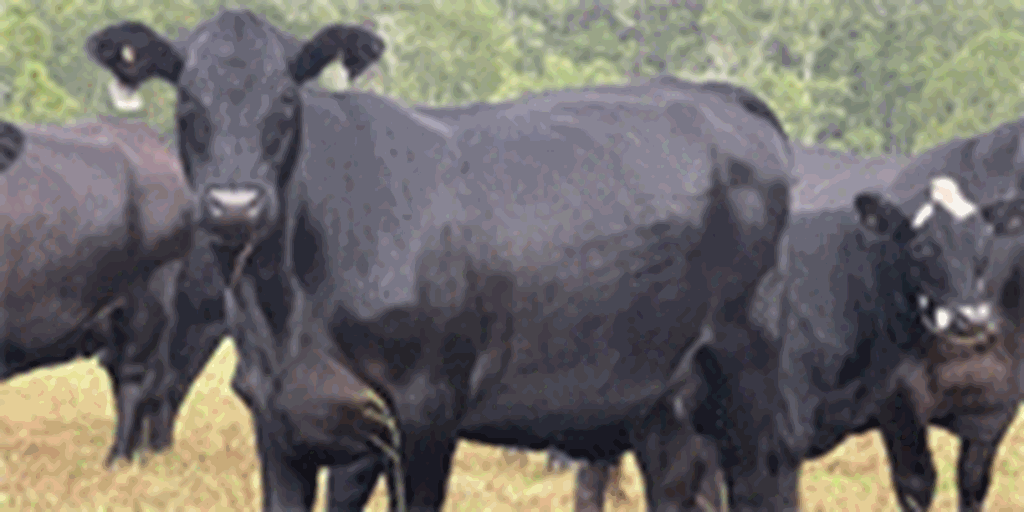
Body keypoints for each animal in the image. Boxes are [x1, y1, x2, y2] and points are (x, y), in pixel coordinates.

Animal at [86, 9, 795, 511]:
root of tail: (716, 97)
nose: (235, 205)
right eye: (187, 103)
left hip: (746, 374)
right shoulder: (278, 420)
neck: (290, 302)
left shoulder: (424, 412)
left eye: (286, 100)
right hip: (661, 403)